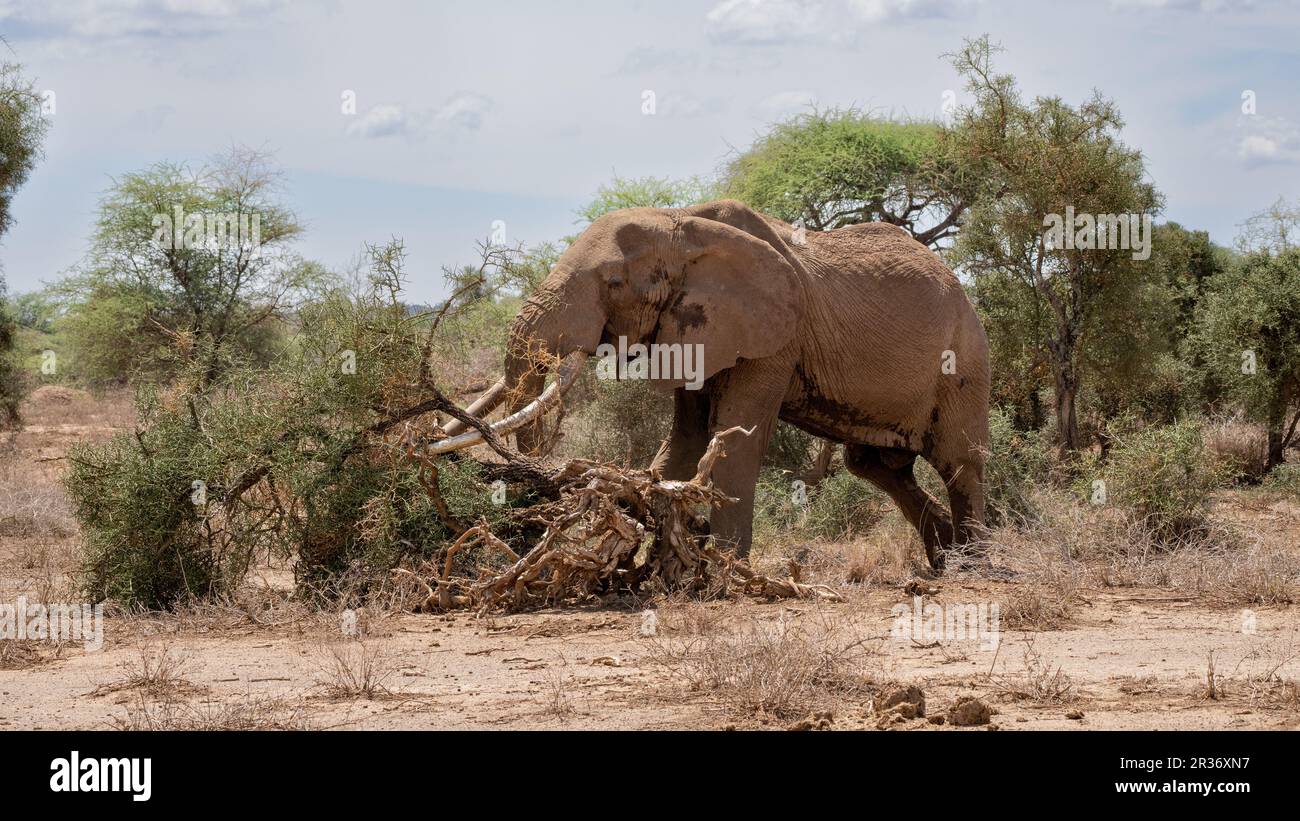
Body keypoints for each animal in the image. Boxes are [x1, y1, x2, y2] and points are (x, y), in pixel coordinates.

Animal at [434, 200, 991, 573]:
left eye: (614, 282)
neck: (682, 224)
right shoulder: (694, 330)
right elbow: (685, 441)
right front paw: (652, 540)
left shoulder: (774, 336)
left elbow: (735, 438)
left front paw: (724, 570)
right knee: (875, 465)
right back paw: (943, 555)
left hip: (964, 357)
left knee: (958, 460)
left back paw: (972, 564)